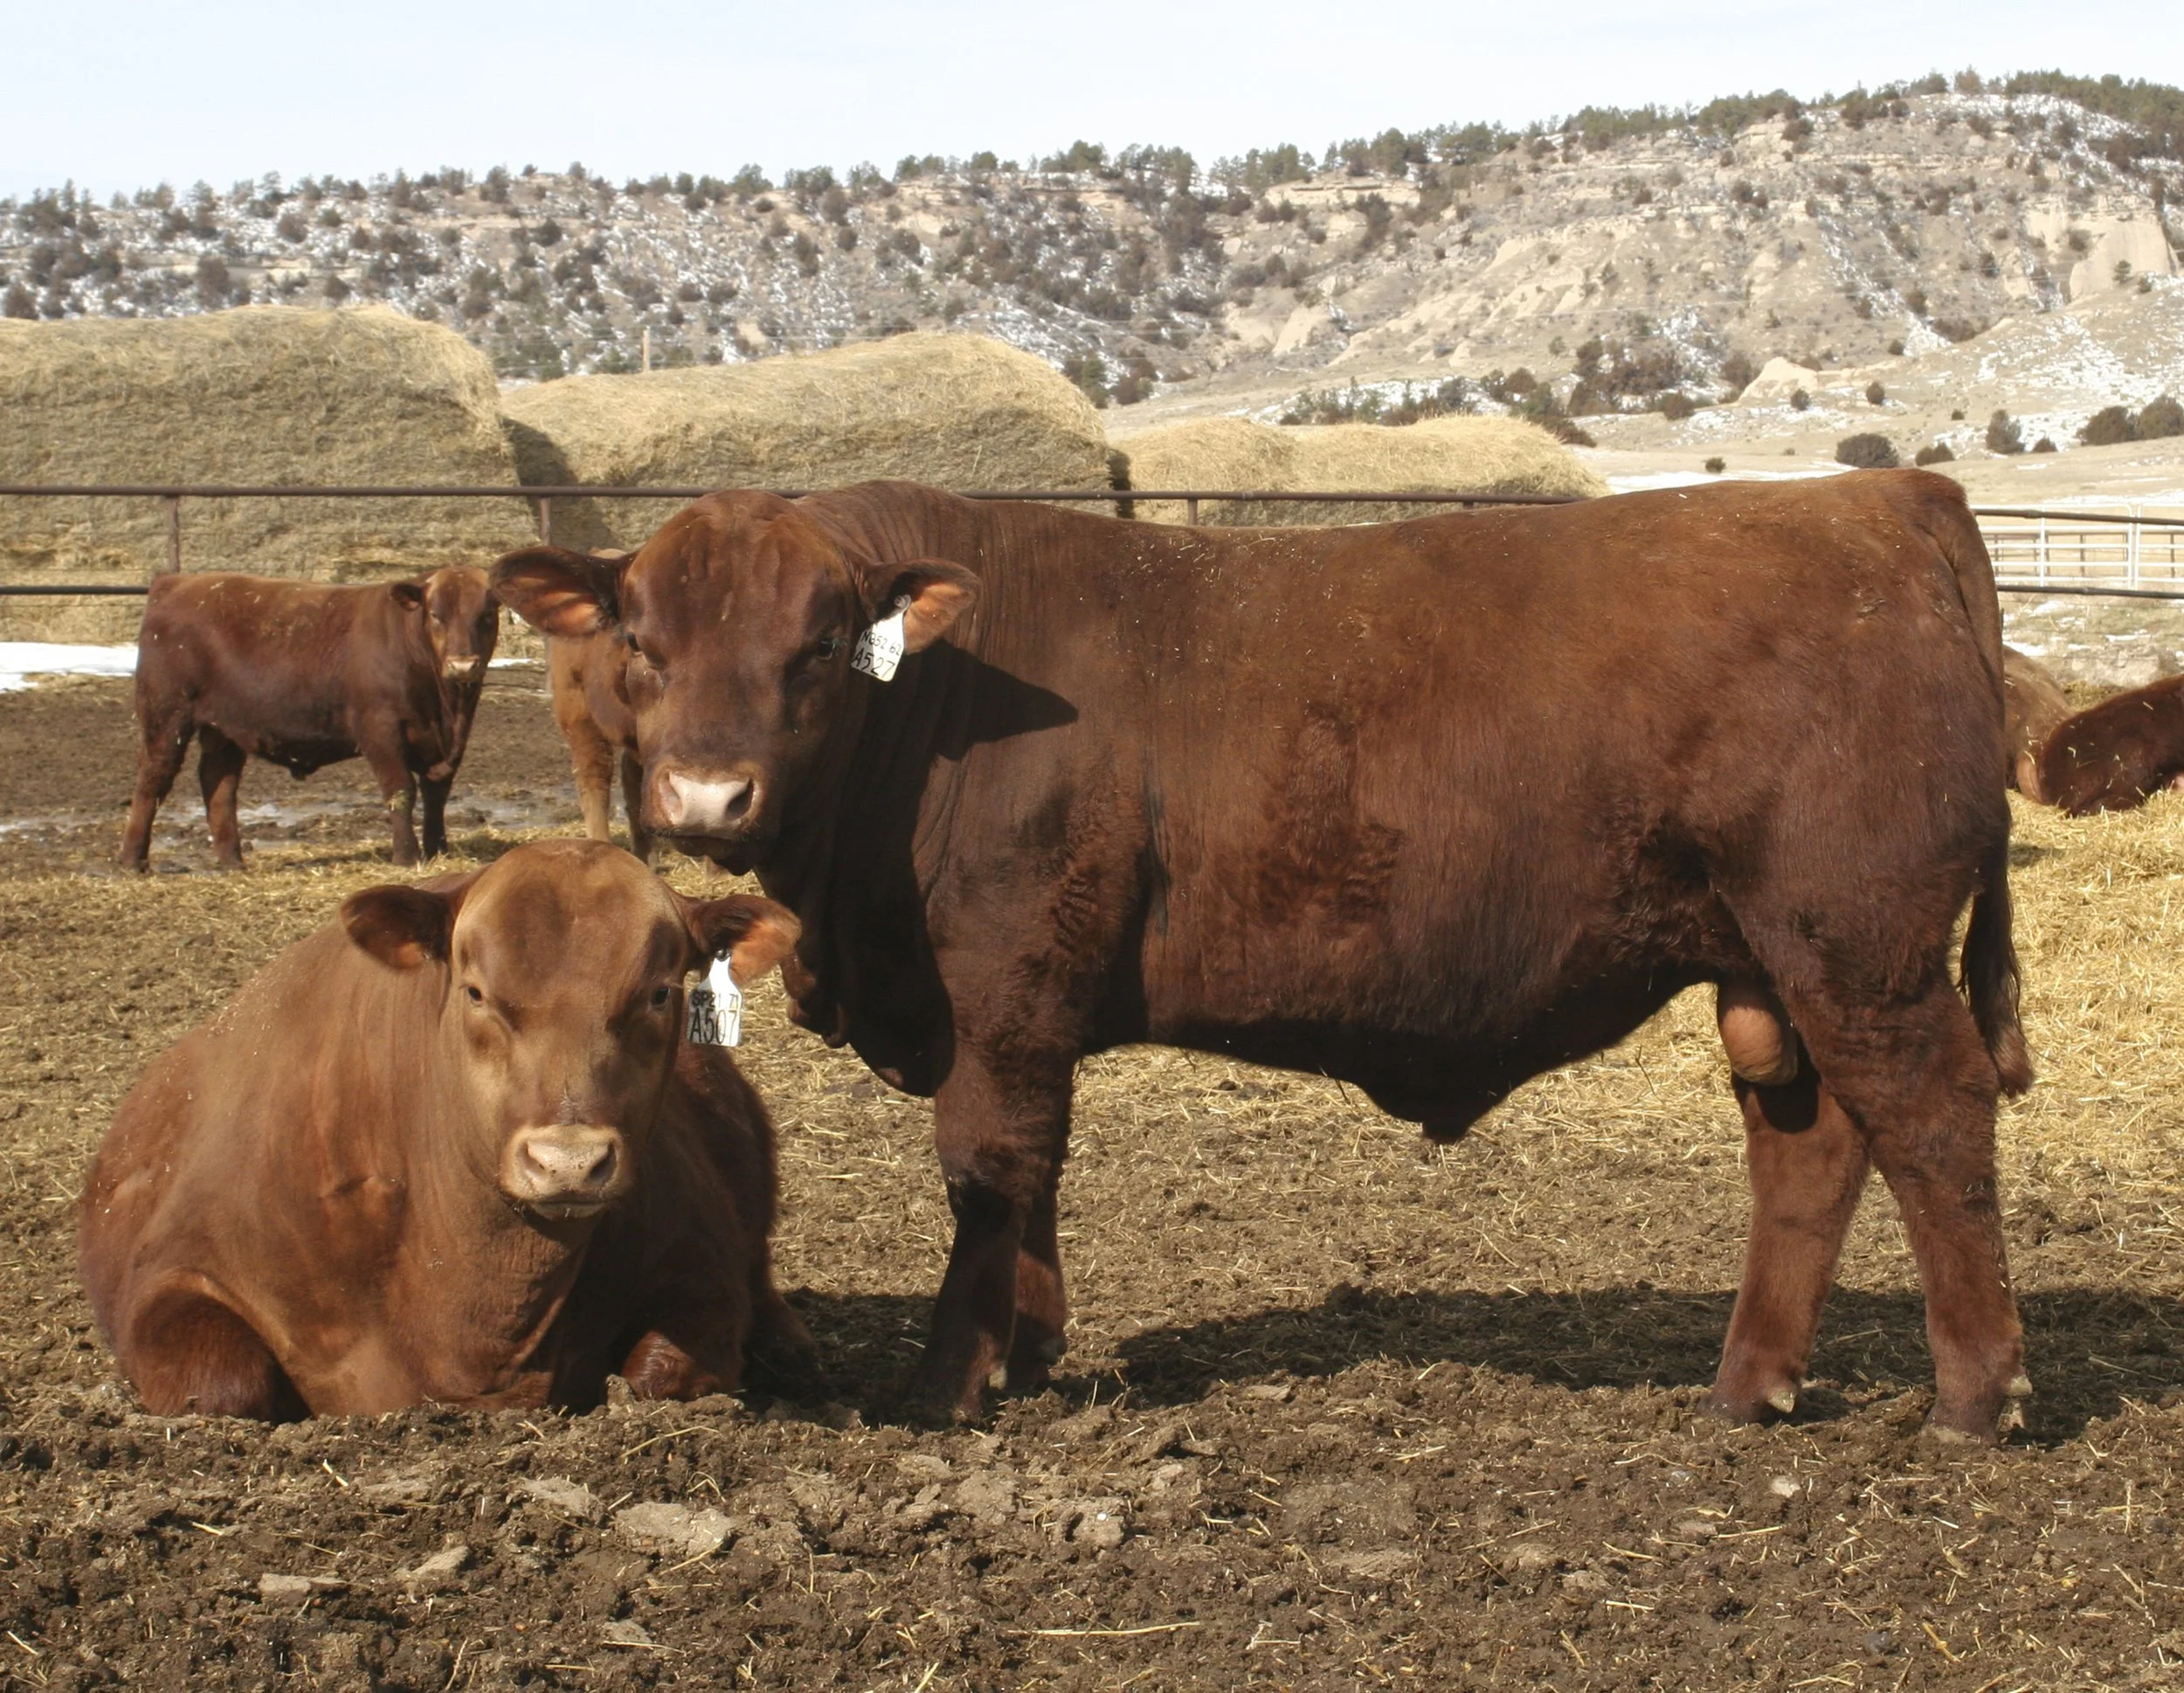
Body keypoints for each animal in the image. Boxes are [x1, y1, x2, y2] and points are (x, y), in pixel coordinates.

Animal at [78, 838, 808, 1418]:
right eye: (476, 992)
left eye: (659, 992)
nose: (568, 1161)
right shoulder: (175, 1270)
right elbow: (223, 1384)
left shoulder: (702, 1258)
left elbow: (663, 1369)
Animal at [119, 567, 499, 872]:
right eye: (436, 615)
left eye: (487, 614)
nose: (463, 665)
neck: (444, 707)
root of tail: (176, 581)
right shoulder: (380, 731)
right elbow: (400, 790)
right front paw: (407, 856)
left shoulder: (451, 743)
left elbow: (437, 793)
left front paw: (438, 851)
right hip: (166, 717)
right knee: (153, 779)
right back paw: (133, 861)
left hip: (223, 728)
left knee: (219, 785)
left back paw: (232, 862)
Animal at [492, 471, 2033, 1440]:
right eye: (639, 640)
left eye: (816, 649)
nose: (703, 798)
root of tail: (1889, 498)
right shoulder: (1032, 1008)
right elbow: (1036, 1175)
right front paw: (1035, 1351)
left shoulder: (1003, 984)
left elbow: (988, 1165)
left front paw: (952, 1379)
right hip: (1776, 967)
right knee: (1811, 1147)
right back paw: (1751, 1386)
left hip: (1864, 949)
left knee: (1936, 1122)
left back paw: (1975, 1396)